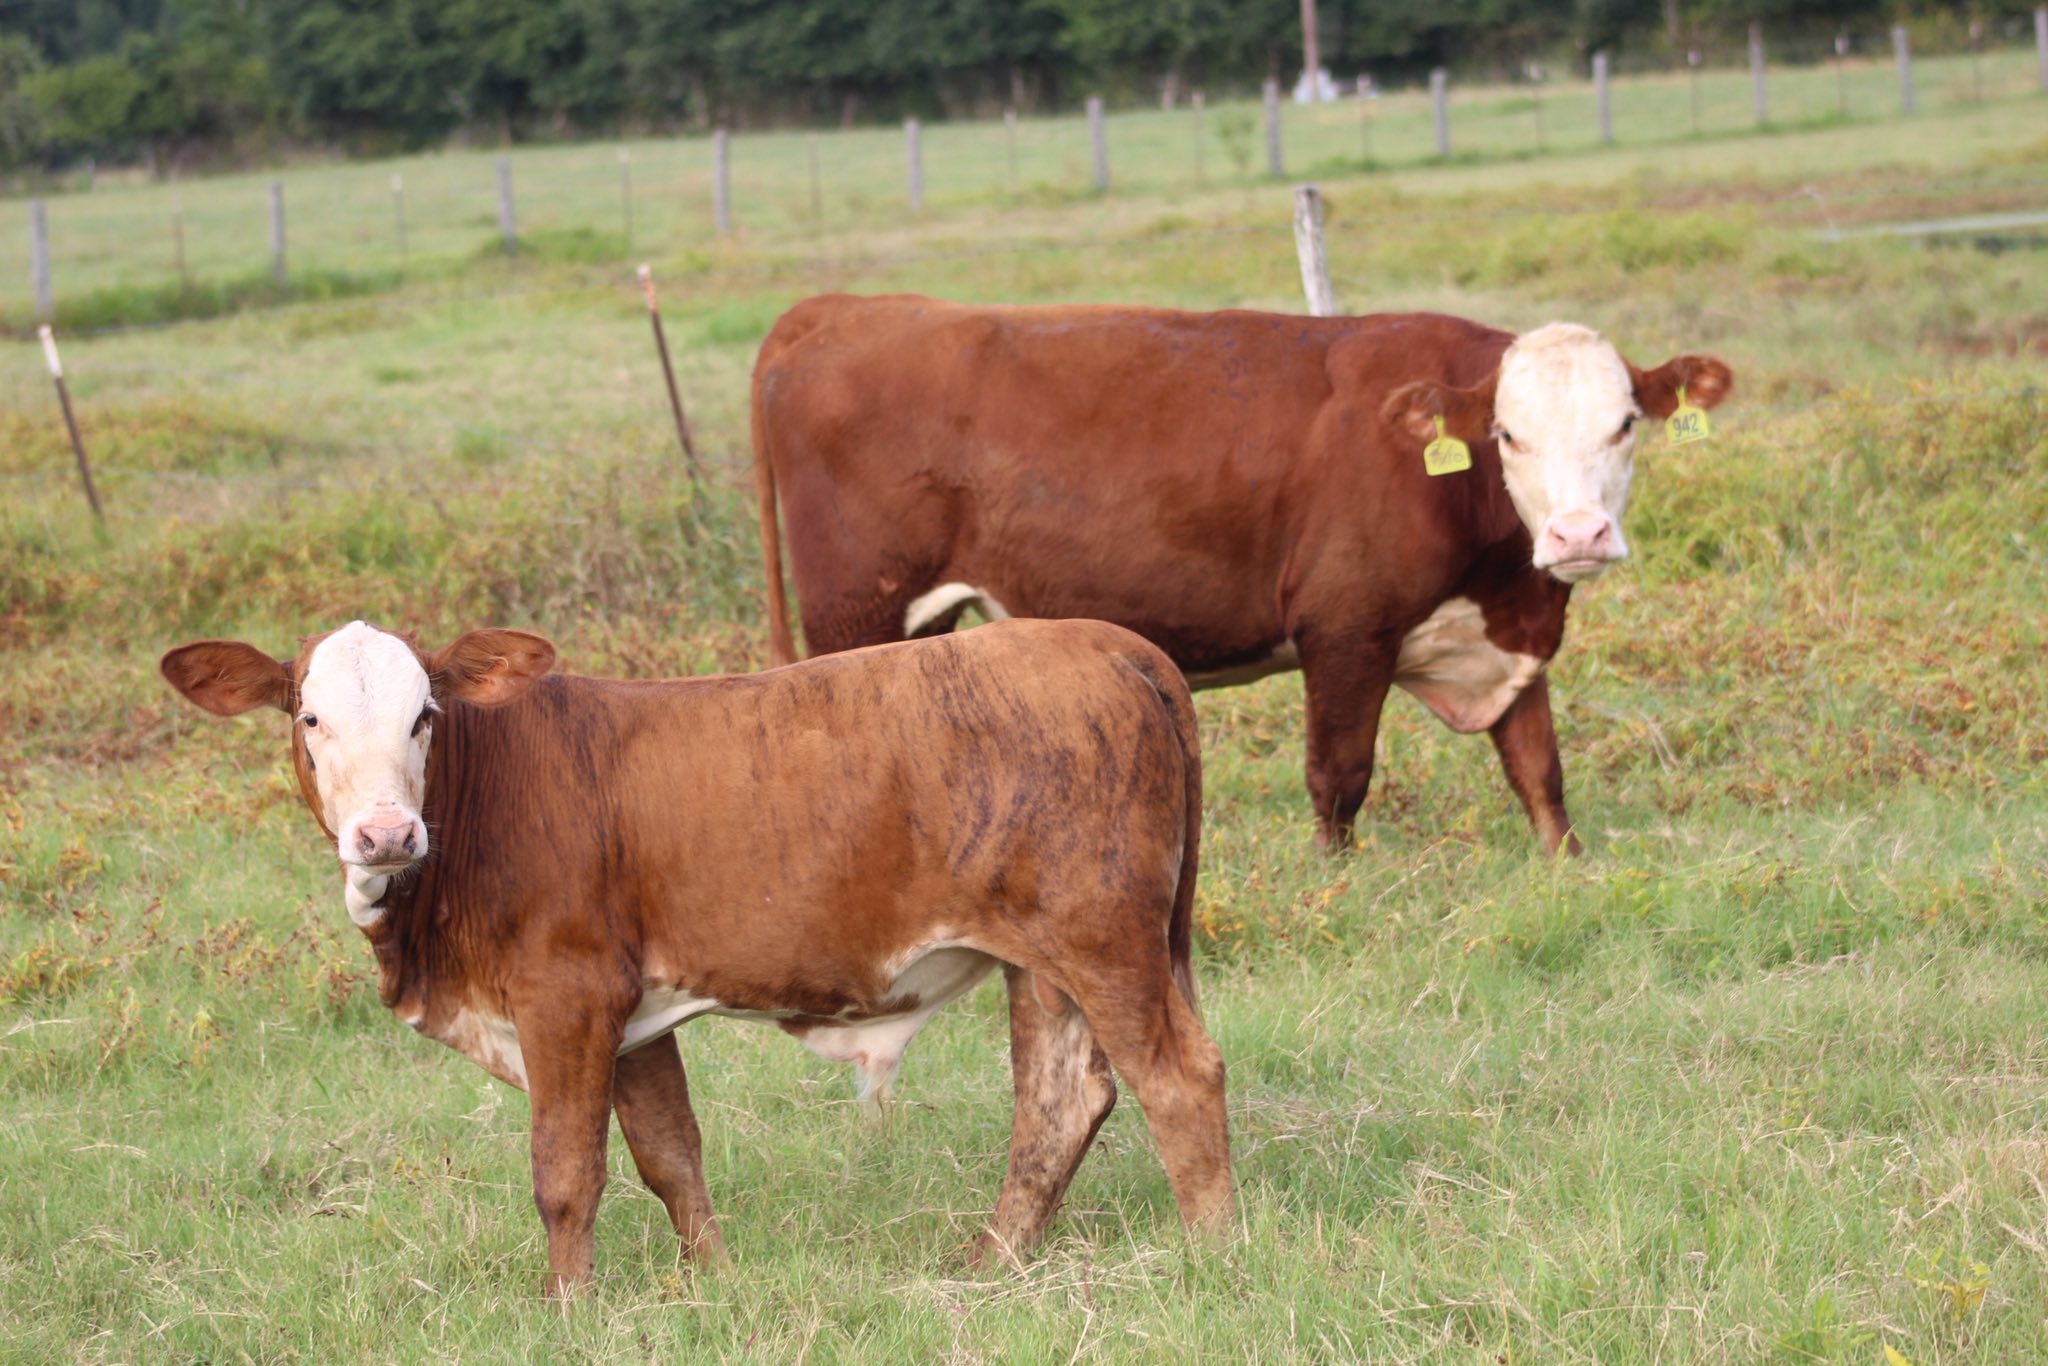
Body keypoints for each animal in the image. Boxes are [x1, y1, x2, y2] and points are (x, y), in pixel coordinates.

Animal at [159, 617, 1232, 1295]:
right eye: (308, 717)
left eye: (425, 714)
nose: (385, 834)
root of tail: (1108, 641)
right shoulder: (632, 1016)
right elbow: (671, 1155)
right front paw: (709, 1284)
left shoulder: (565, 993)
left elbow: (565, 1172)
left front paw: (571, 1312)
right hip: (1042, 960)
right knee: (1059, 1099)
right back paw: (987, 1265)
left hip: (1104, 939)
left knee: (1177, 1079)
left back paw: (1212, 1257)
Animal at [750, 294, 1732, 854]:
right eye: (1508, 434)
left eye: (1625, 424)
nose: (1577, 534)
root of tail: (840, 305)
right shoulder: (1346, 628)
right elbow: (1340, 776)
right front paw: (1337, 883)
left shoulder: (1509, 634)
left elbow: (1539, 772)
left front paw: (1568, 868)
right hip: (853, 615)